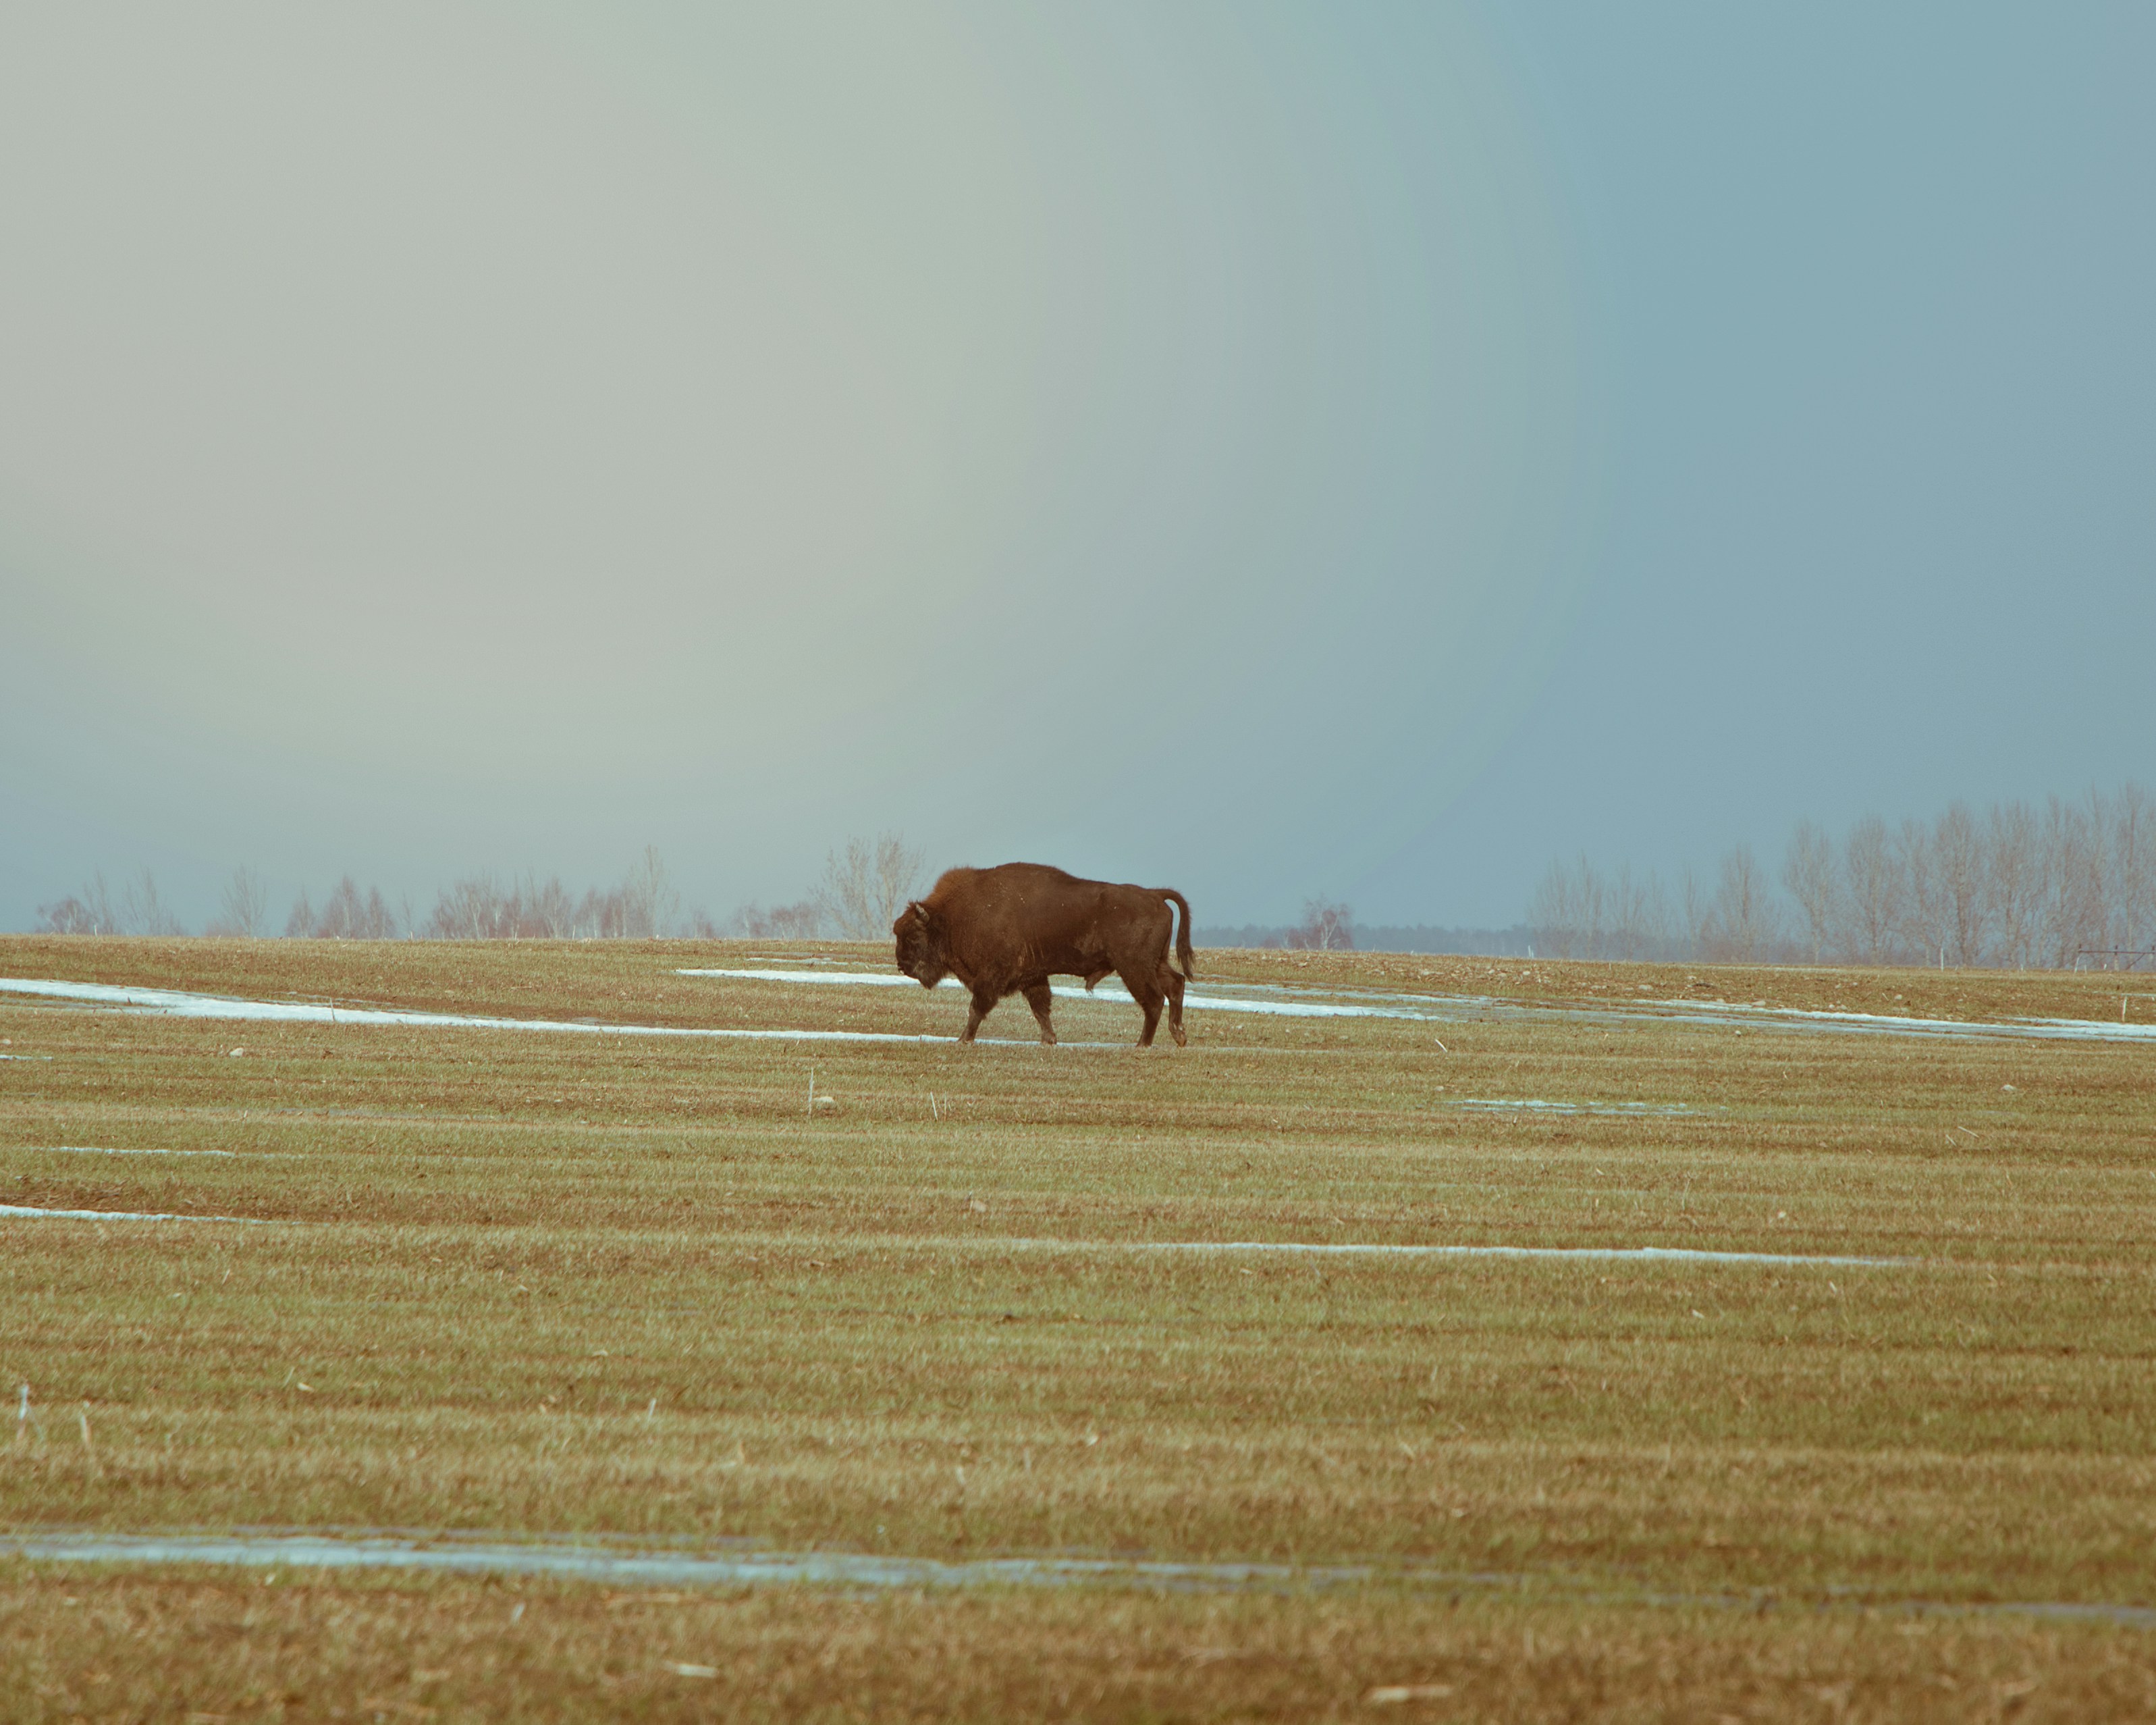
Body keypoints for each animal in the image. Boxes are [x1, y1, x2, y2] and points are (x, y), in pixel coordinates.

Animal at [893, 863, 1195, 1047]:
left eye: (914, 937)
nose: (902, 966)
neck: (952, 918)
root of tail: (1155, 896)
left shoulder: (991, 978)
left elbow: (977, 1008)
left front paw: (963, 1039)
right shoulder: (1033, 976)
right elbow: (1041, 1008)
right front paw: (1049, 1039)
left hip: (1134, 967)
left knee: (1154, 999)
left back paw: (1142, 1044)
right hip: (1155, 963)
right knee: (1176, 984)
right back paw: (1179, 1036)